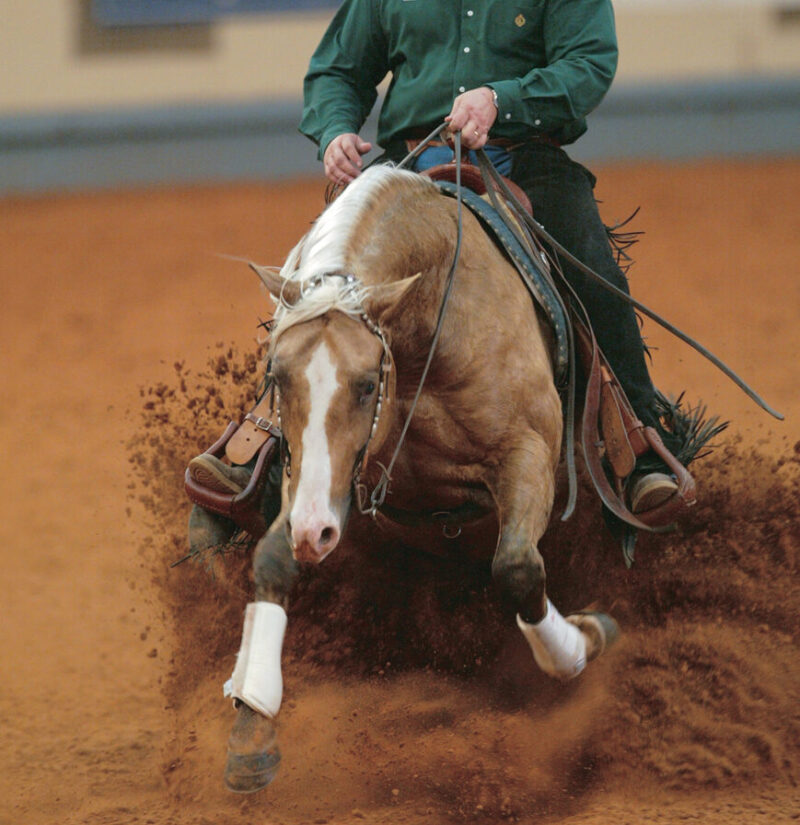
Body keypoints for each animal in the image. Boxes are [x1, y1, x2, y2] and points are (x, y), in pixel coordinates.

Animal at [222, 163, 619, 793]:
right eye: (277, 377)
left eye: (366, 384)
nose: (314, 532)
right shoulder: (316, 478)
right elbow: (274, 559)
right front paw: (252, 720)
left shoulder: (528, 454)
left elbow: (517, 568)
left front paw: (584, 642)